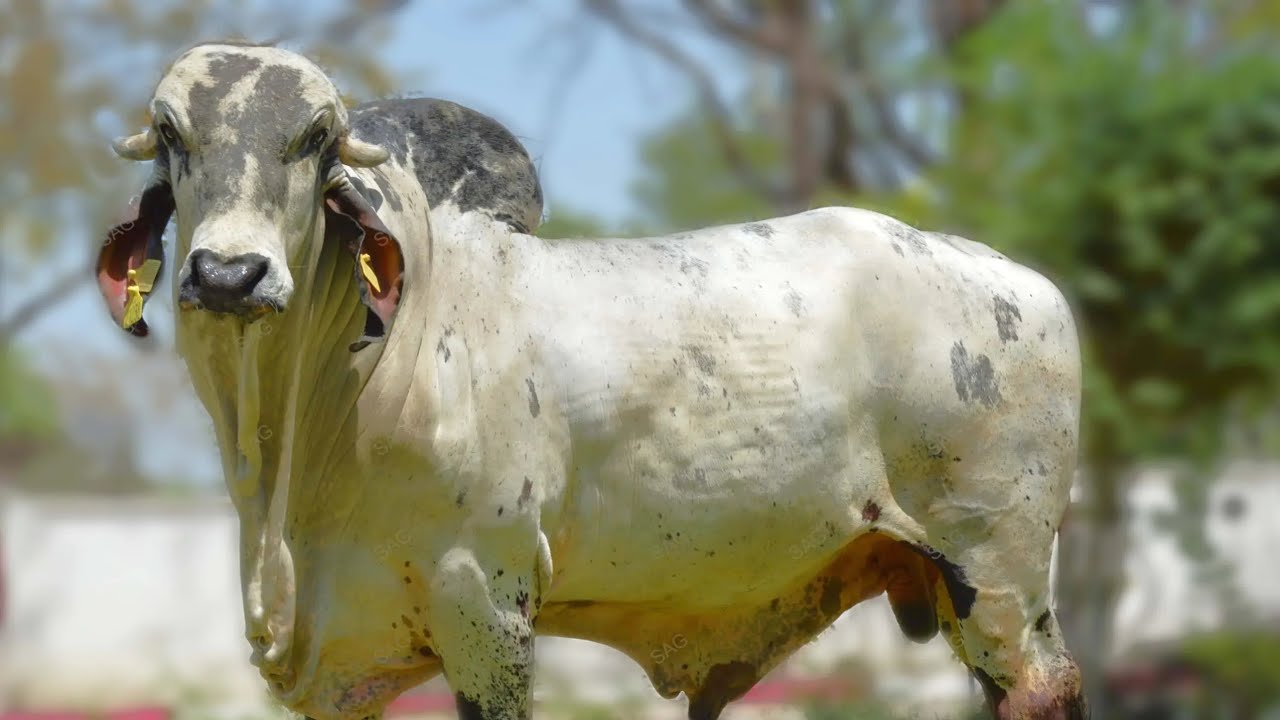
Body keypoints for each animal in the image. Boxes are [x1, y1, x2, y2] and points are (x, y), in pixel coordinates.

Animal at [95, 43, 1087, 720]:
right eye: (174, 136)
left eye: (314, 140)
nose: (231, 275)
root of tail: (1019, 277)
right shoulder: (342, 665)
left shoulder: (485, 602)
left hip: (998, 573)